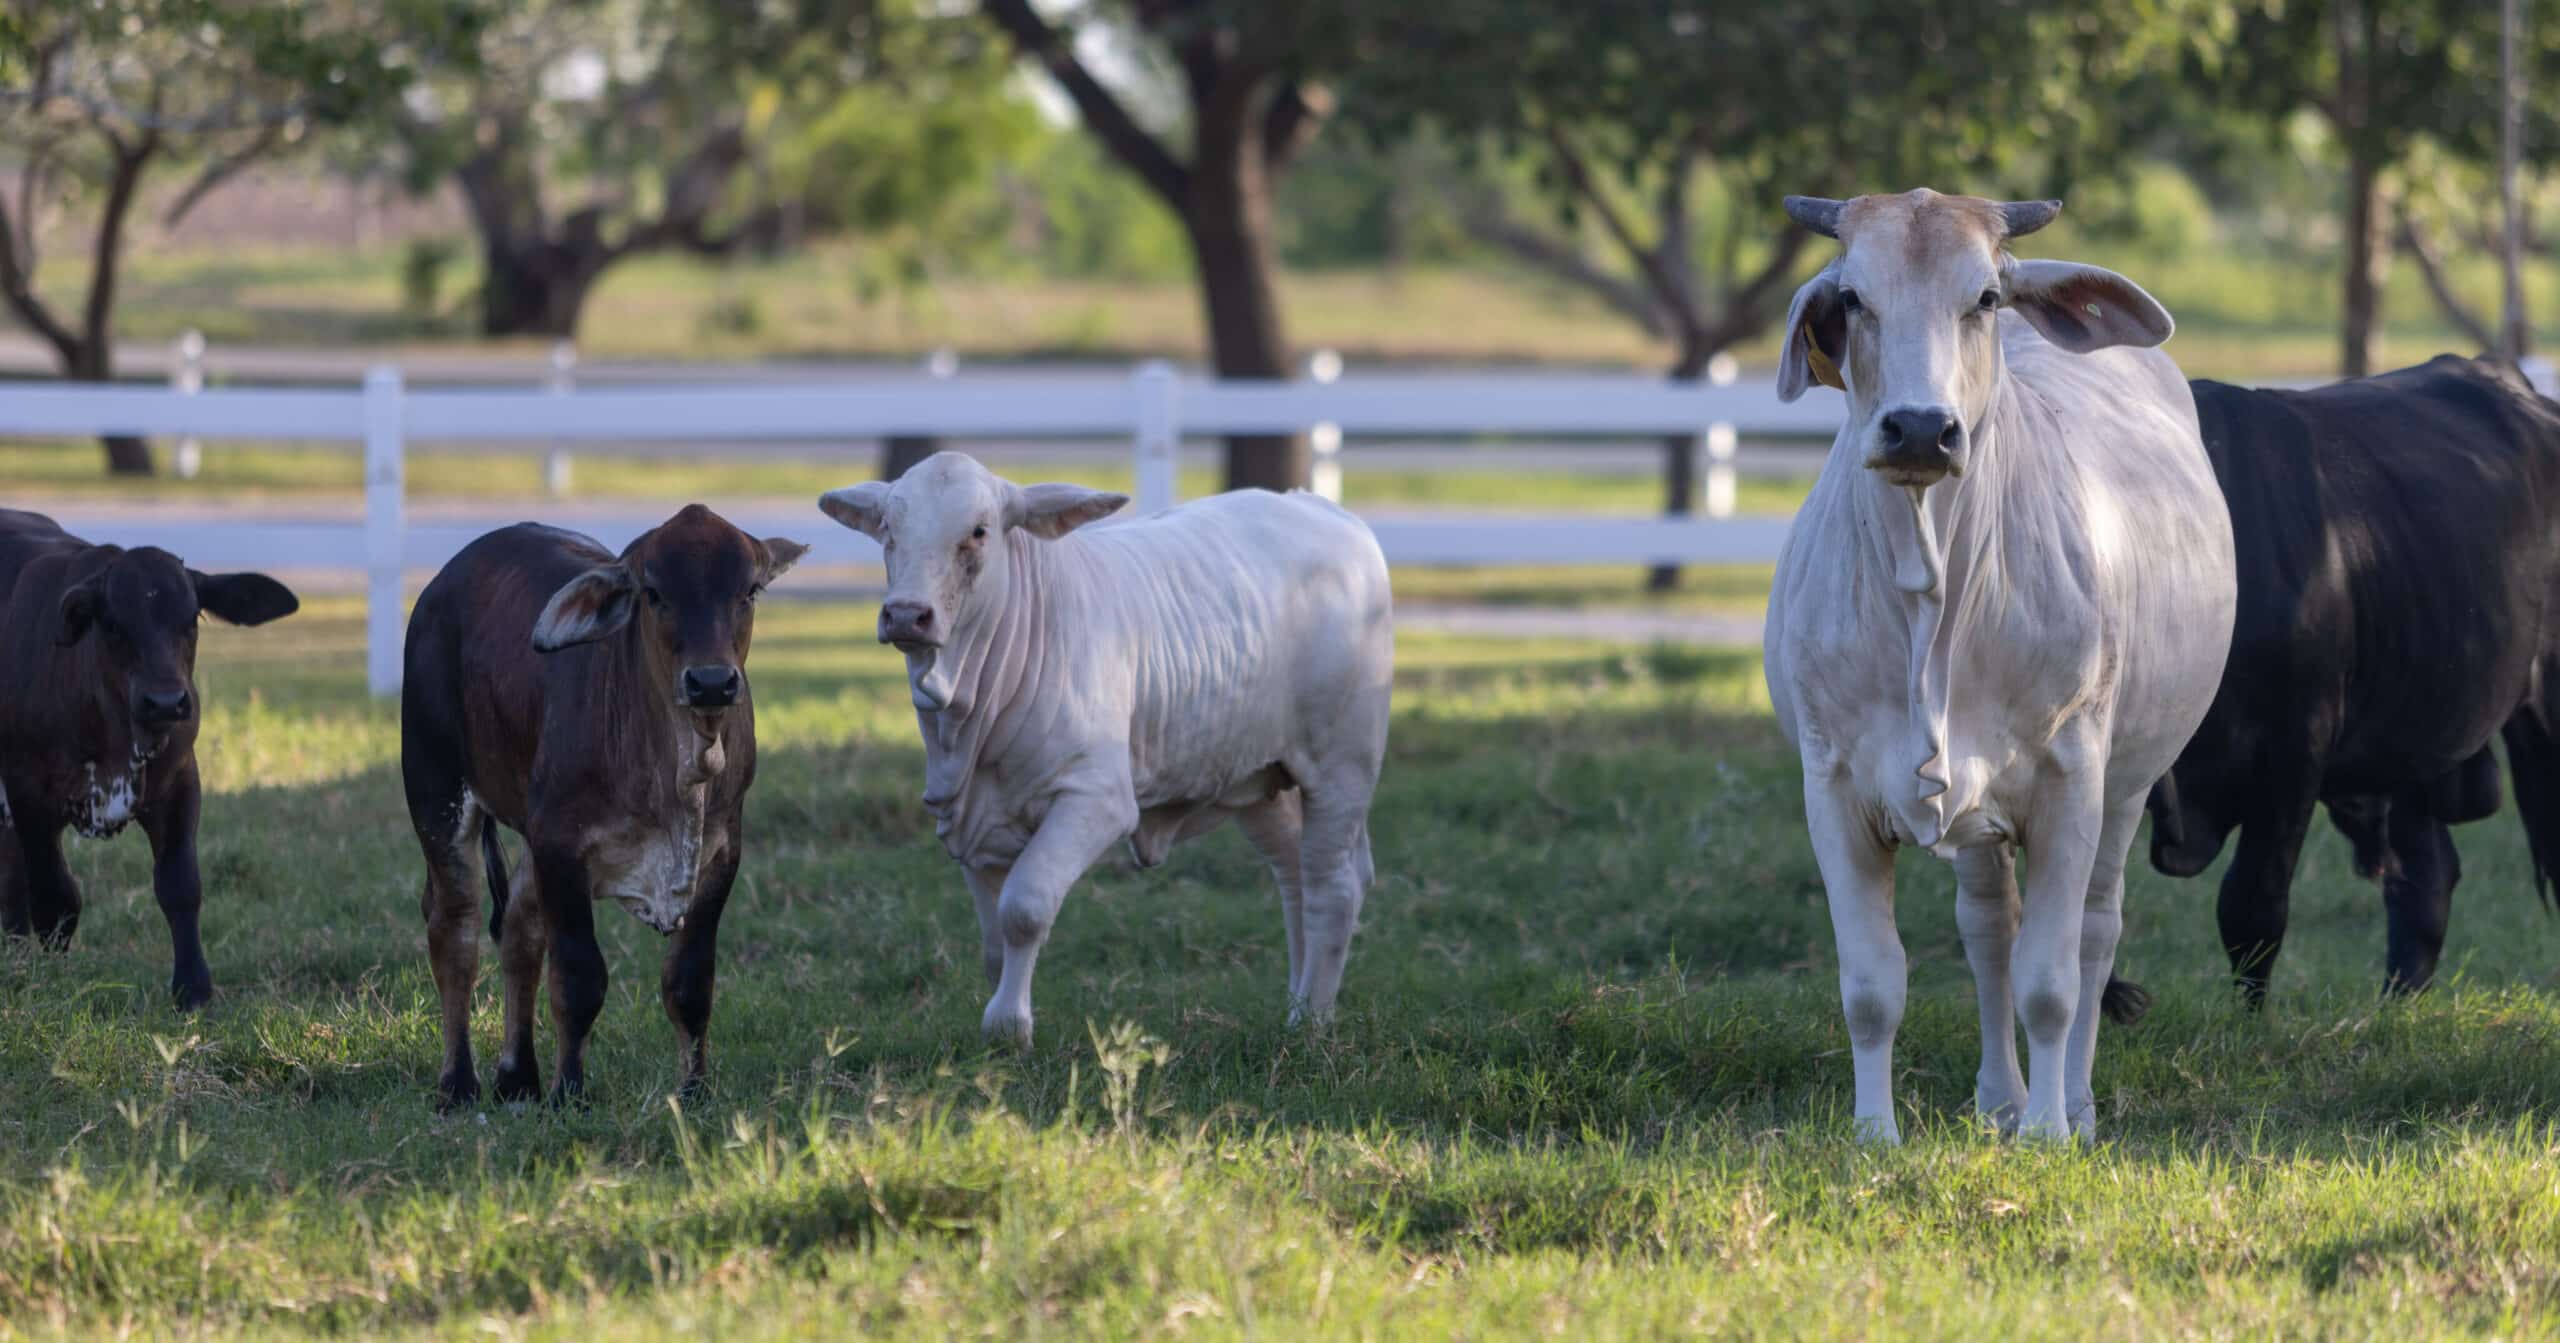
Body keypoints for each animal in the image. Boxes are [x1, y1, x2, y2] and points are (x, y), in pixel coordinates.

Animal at [0, 509, 299, 1008]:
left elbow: (180, 886)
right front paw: (49, 976)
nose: (165, 702)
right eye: (112, 625)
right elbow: (56, 897)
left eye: (193, 618)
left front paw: (193, 988)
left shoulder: (179, 783)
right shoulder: (27, 791)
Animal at [399, 506, 804, 1108]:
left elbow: (690, 982)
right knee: (456, 927)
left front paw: (694, 1090)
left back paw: (517, 1077)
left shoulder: (722, 852)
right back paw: (459, 1084)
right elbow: (579, 978)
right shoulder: (560, 845)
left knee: (519, 929)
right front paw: (569, 1090)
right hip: (435, 790)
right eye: (653, 593)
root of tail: (443, 583)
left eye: (749, 591)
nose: (711, 682)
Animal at [817, 453, 1392, 1048]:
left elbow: (1023, 907)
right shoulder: (971, 819)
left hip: (1344, 766)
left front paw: (1009, 1026)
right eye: (888, 528)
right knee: (1295, 878)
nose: (907, 615)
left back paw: (1313, 1022)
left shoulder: (1097, 798)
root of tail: (1325, 510)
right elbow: (994, 942)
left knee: (1332, 887)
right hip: (1260, 780)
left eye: (978, 532)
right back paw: (1296, 1009)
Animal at [1762, 190, 2236, 1144]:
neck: (1932, 596)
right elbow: (1874, 986)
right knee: (1988, 930)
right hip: (1980, 822)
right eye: (1854, 296)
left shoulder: (2072, 779)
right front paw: (1874, 1136)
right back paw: (1999, 1099)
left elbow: (2052, 980)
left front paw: (2050, 1133)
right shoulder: (1831, 786)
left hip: (2125, 788)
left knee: (2094, 932)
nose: (1918, 427)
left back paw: (2073, 1104)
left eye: (1983, 296)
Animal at [2127, 357, 2560, 1005]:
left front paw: (2248, 1022)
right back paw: (2398, 1004)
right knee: (2425, 874)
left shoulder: (2294, 747)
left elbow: (2252, 906)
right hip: (2415, 722)